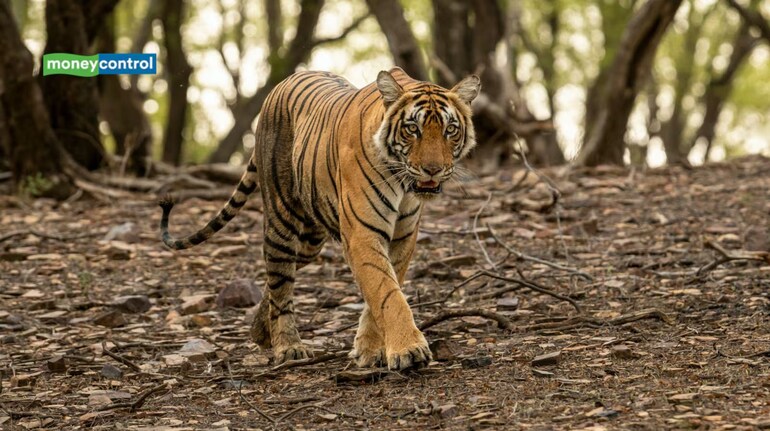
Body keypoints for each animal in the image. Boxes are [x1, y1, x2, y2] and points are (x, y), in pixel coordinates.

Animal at [159, 67, 480, 370]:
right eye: (412, 128)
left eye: (450, 129)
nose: (432, 170)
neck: (402, 182)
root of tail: (283, 82)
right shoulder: (363, 233)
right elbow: (387, 293)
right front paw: (408, 351)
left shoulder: (402, 237)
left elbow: (383, 291)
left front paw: (368, 350)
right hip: (281, 222)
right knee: (280, 284)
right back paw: (288, 346)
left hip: (311, 241)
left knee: (277, 283)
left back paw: (260, 331)